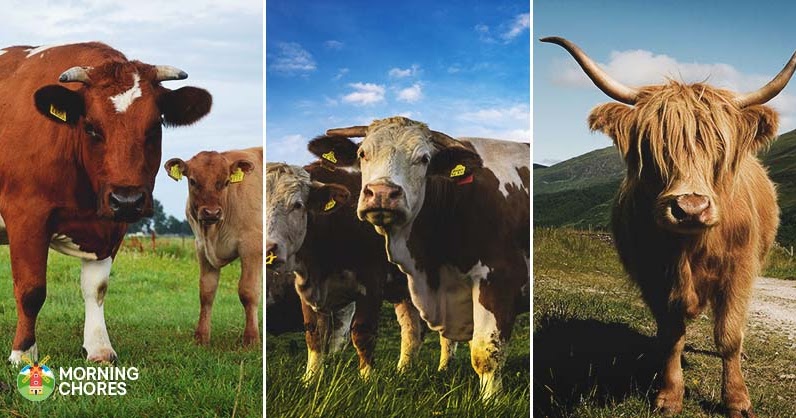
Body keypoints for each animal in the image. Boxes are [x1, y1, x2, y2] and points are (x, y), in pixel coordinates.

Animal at [0, 42, 211, 365]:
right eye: (90, 127)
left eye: (156, 127)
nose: (127, 200)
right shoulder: (26, 217)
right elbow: (30, 290)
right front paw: (23, 353)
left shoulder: (112, 226)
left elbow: (96, 288)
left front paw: (99, 347)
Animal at [164, 147, 262, 346]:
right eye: (193, 181)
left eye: (226, 182)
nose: (211, 212)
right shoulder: (202, 248)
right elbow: (206, 291)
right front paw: (201, 336)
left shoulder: (252, 246)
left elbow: (248, 291)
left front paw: (251, 339)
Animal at [265, 162, 456, 382]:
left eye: (297, 205)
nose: (269, 249)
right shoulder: (308, 291)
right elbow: (314, 336)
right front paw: (311, 378)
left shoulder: (370, 284)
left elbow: (362, 334)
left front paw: (367, 378)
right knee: (412, 329)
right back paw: (404, 370)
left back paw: (445, 368)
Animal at [308, 117, 531, 399]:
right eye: (362, 154)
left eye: (424, 159)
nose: (382, 193)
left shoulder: (499, 279)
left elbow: (485, 353)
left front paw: (491, 400)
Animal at [542, 36, 796, 417]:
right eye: (654, 145)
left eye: (720, 146)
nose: (690, 208)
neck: (689, 250)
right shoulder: (652, 277)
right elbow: (671, 336)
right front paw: (669, 396)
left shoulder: (740, 270)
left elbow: (729, 336)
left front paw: (737, 400)